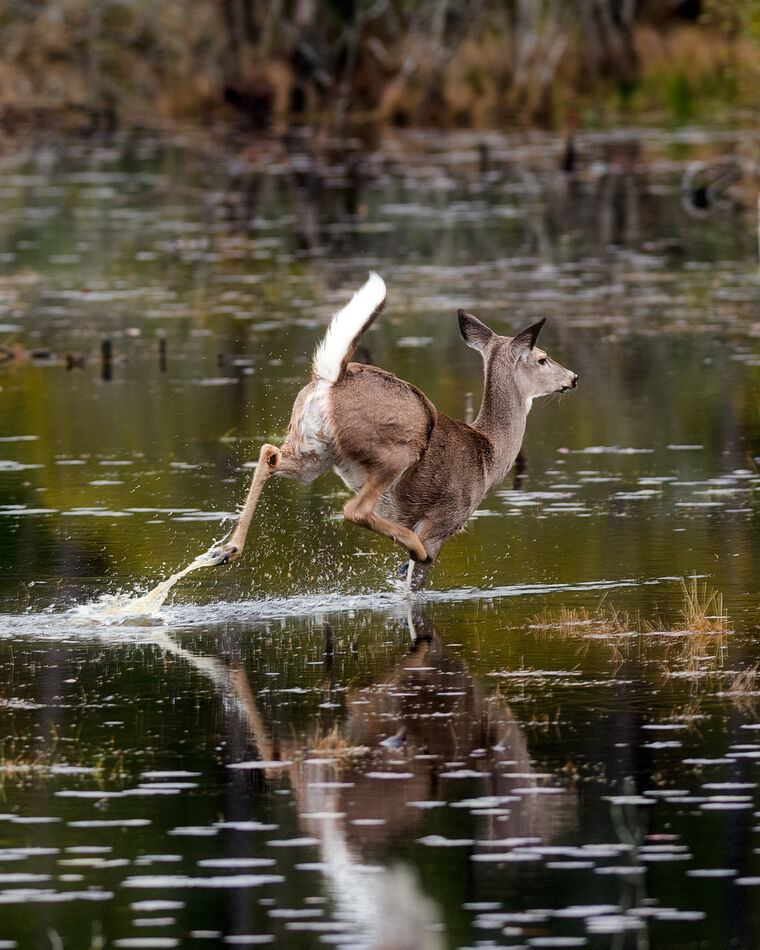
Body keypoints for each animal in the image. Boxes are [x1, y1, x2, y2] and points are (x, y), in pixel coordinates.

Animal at [209, 273, 578, 590]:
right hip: (398, 450)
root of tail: (332, 375)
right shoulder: (443, 521)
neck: (488, 455)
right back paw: (412, 548)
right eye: (542, 358)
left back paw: (224, 552)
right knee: (356, 510)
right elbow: (414, 590)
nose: (573, 377)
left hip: (312, 452)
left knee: (268, 454)